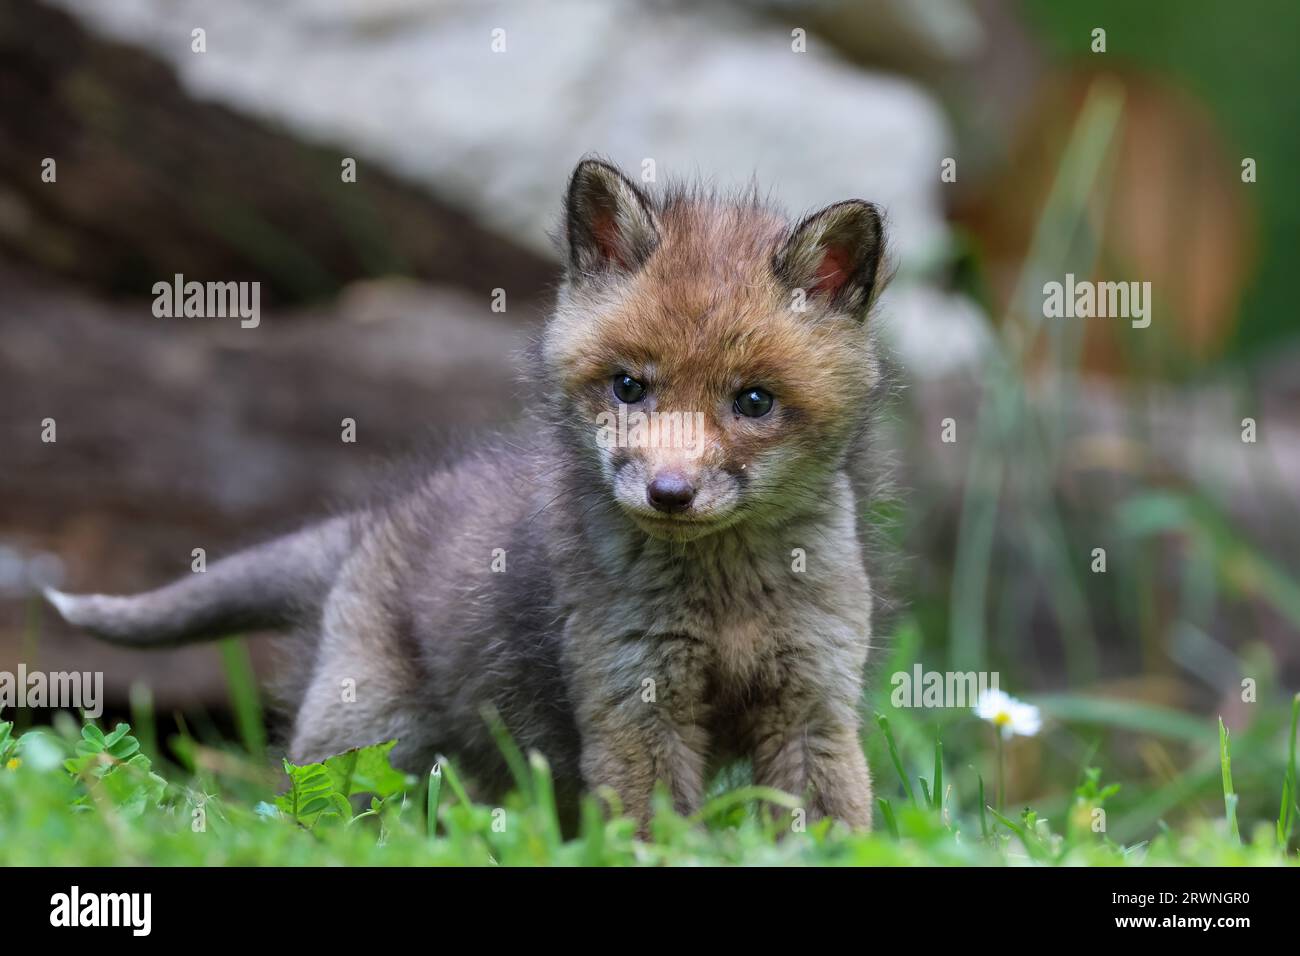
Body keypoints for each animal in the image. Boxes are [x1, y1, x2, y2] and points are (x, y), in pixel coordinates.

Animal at [45, 159, 893, 832]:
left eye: (753, 402)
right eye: (629, 386)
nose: (669, 492)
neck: (725, 600)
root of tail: (370, 525)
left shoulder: (814, 706)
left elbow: (831, 825)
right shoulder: (635, 710)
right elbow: (653, 834)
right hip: (365, 744)